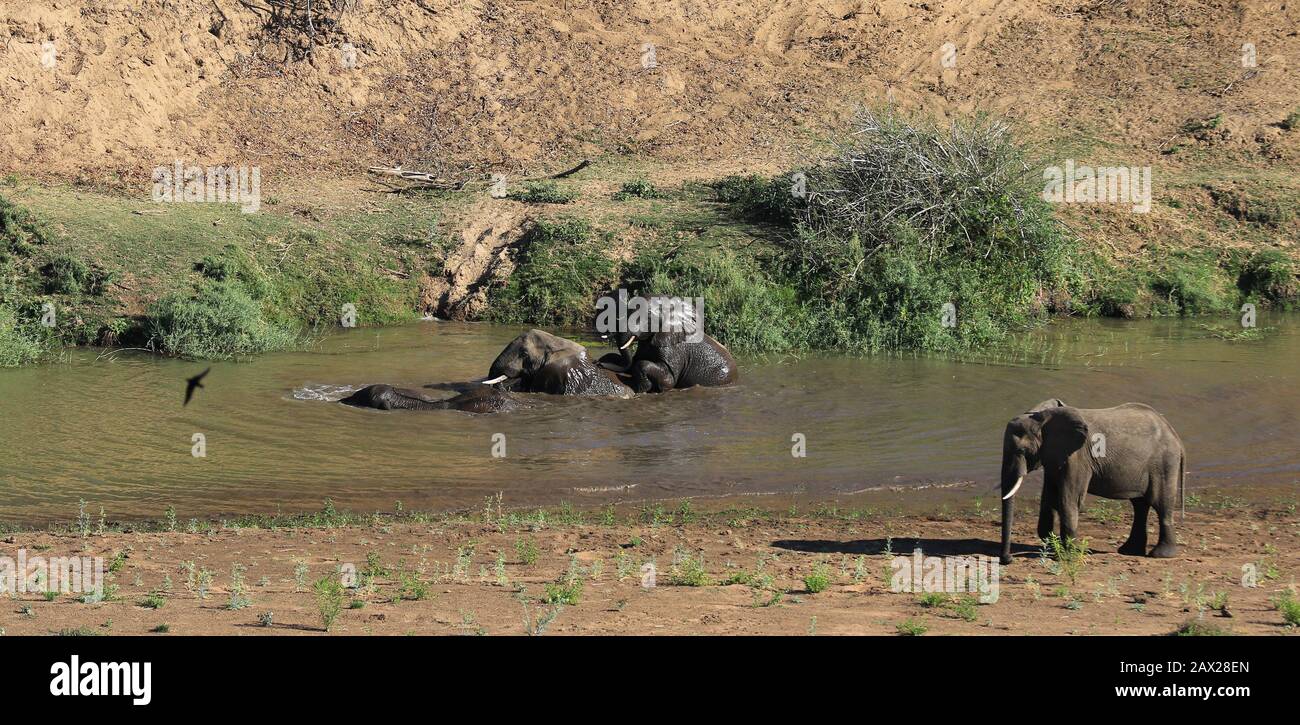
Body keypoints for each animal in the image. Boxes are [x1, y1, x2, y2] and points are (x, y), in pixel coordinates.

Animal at [999, 399, 1185, 565]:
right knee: (1140, 505)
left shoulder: (1078, 458)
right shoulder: (1054, 457)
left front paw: (1066, 555)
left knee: (1160, 504)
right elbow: (1049, 498)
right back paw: (1129, 551)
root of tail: (1176, 437)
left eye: (1021, 451)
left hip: (1164, 463)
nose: (1008, 560)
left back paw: (1160, 555)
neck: (1041, 418)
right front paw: (1054, 546)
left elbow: (1068, 500)